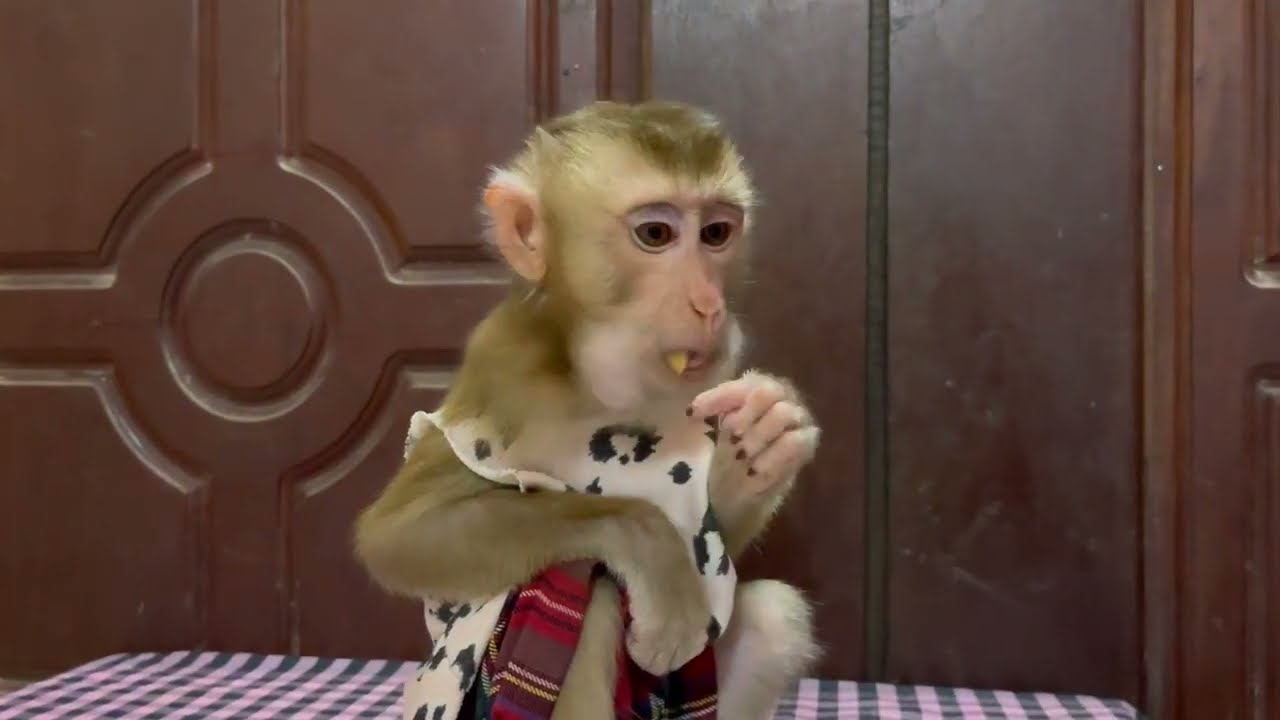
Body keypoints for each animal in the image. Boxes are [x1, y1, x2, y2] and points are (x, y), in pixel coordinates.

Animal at [354, 100, 822, 719]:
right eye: (655, 233)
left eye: (716, 233)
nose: (710, 306)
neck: (594, 384)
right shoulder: (502, 379)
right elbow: (398, 536)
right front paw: (649, 543)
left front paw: (759, 444)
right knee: (586, 592)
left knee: (774, 619)